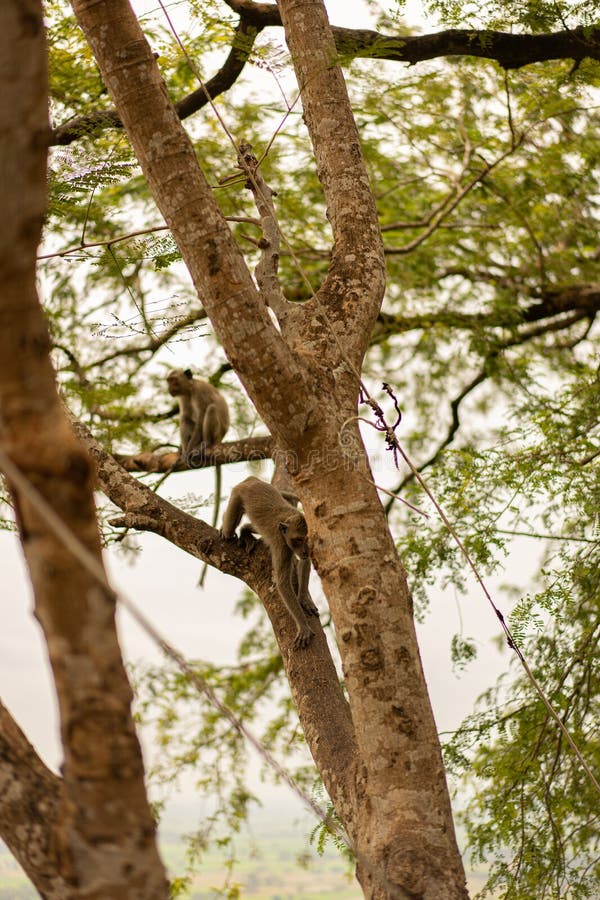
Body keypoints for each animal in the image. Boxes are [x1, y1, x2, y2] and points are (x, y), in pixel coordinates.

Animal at [167, 367, 230, 585]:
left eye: (174, 380)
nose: (169, 388)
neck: (189, 390)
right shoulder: (184, 400)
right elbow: (186, 417)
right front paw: (183, 451)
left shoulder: (199, 394)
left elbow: (202, 415)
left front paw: (190, 450)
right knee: (186, 420)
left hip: (216, 433)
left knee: (209, 411)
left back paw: (203, 446)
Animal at [220, 476, 319, 649]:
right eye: (298, 540)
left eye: (306, 539)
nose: (304, 550)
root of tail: (251, 480)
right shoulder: (281, 544)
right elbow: (283, 583)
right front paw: (303, 627)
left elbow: (305, 562)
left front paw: (304, 598)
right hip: (237, 495)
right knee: (228, 530)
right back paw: (225, 528)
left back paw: (245, 530)